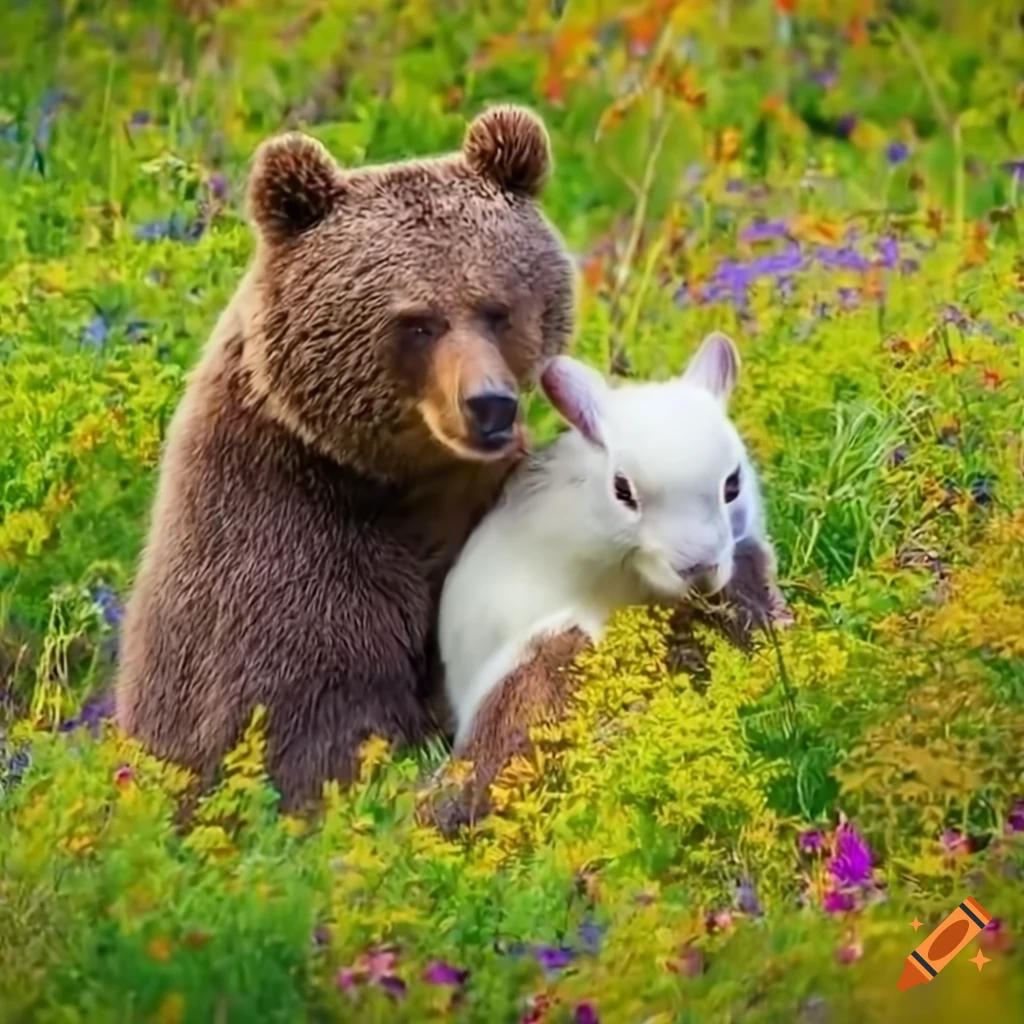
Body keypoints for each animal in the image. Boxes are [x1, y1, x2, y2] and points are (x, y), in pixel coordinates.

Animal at [114, 105, 576, 812]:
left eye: (497, 309)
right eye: (418, 321)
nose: (489, 405)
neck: (405, 484)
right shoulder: (287, 558)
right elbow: (322, 745)